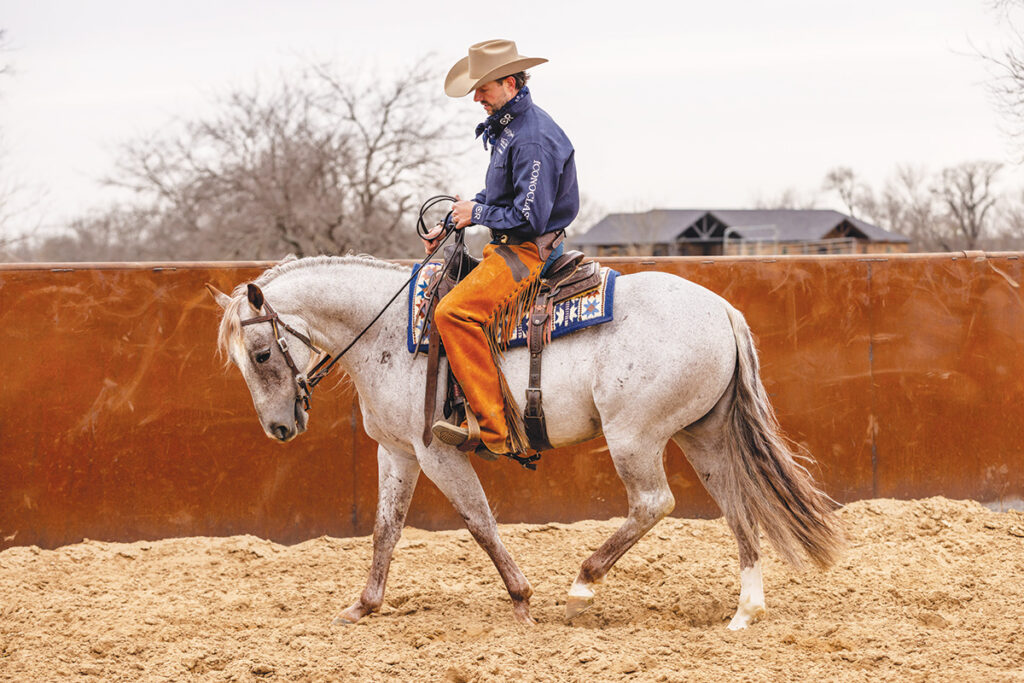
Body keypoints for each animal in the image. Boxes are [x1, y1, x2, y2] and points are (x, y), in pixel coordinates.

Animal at [207, 254, 843, 629]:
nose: (279, 428)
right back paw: (745, 610)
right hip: (702, 435)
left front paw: (521, 597)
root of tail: (721, 309)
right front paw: (363, 606)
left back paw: (582, 585)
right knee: (737, 506)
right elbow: (386, 529)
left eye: (260, 354)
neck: (388, 331)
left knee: (653, 503)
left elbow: (479, 521)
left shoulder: (436, 451)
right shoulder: (398, 452)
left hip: (634, 437)